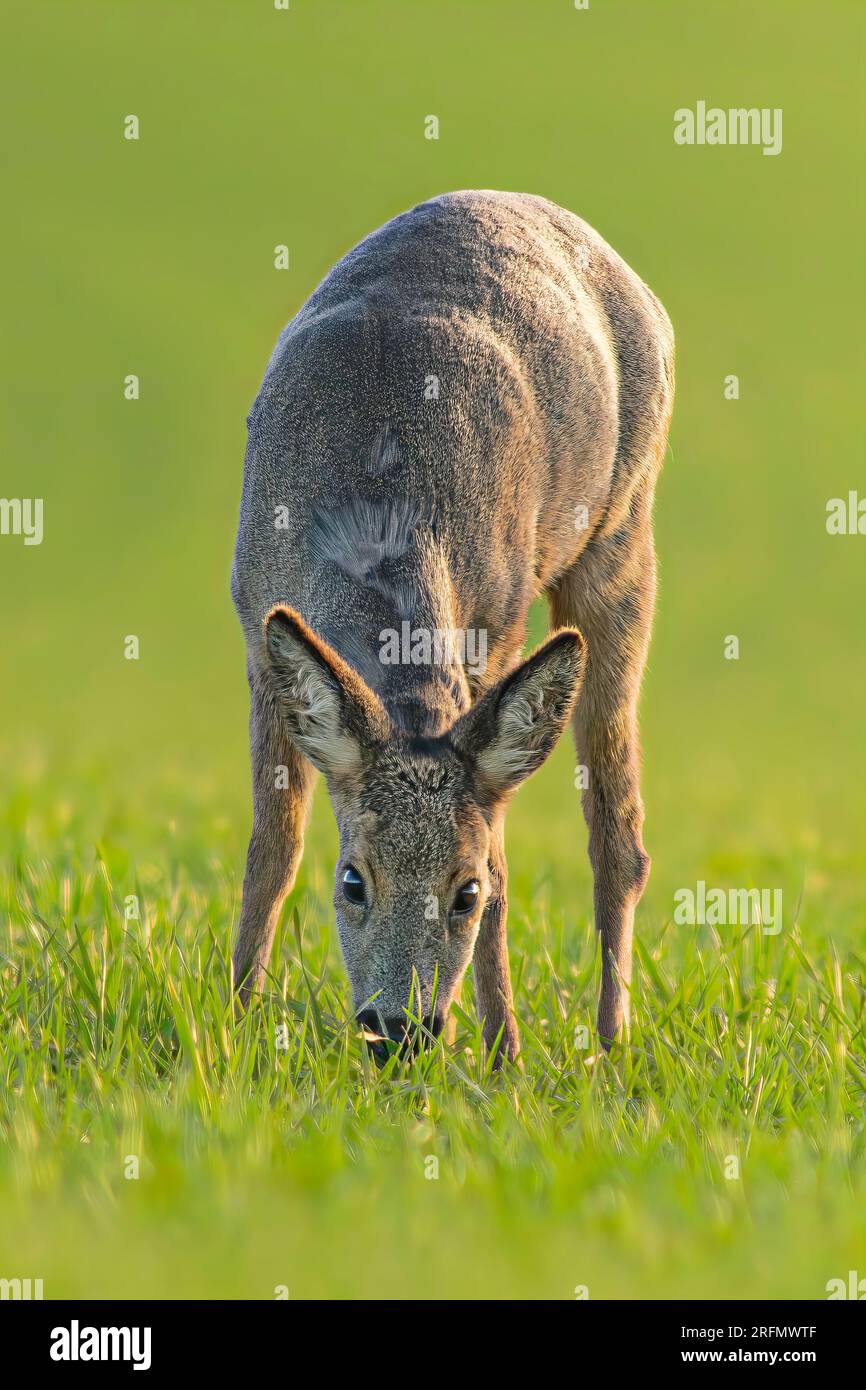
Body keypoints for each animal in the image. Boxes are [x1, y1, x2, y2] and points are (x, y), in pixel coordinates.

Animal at [230, 190, 674, 1065]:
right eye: (353, 880)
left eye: (463, 891)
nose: (399, 1029)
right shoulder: (258, 633)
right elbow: (272, 847)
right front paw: (234, 1023)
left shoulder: (494, 632)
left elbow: (505, 863)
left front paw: (504, 1058)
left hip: (620, 535)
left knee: (619, 833)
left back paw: (610, 1043)